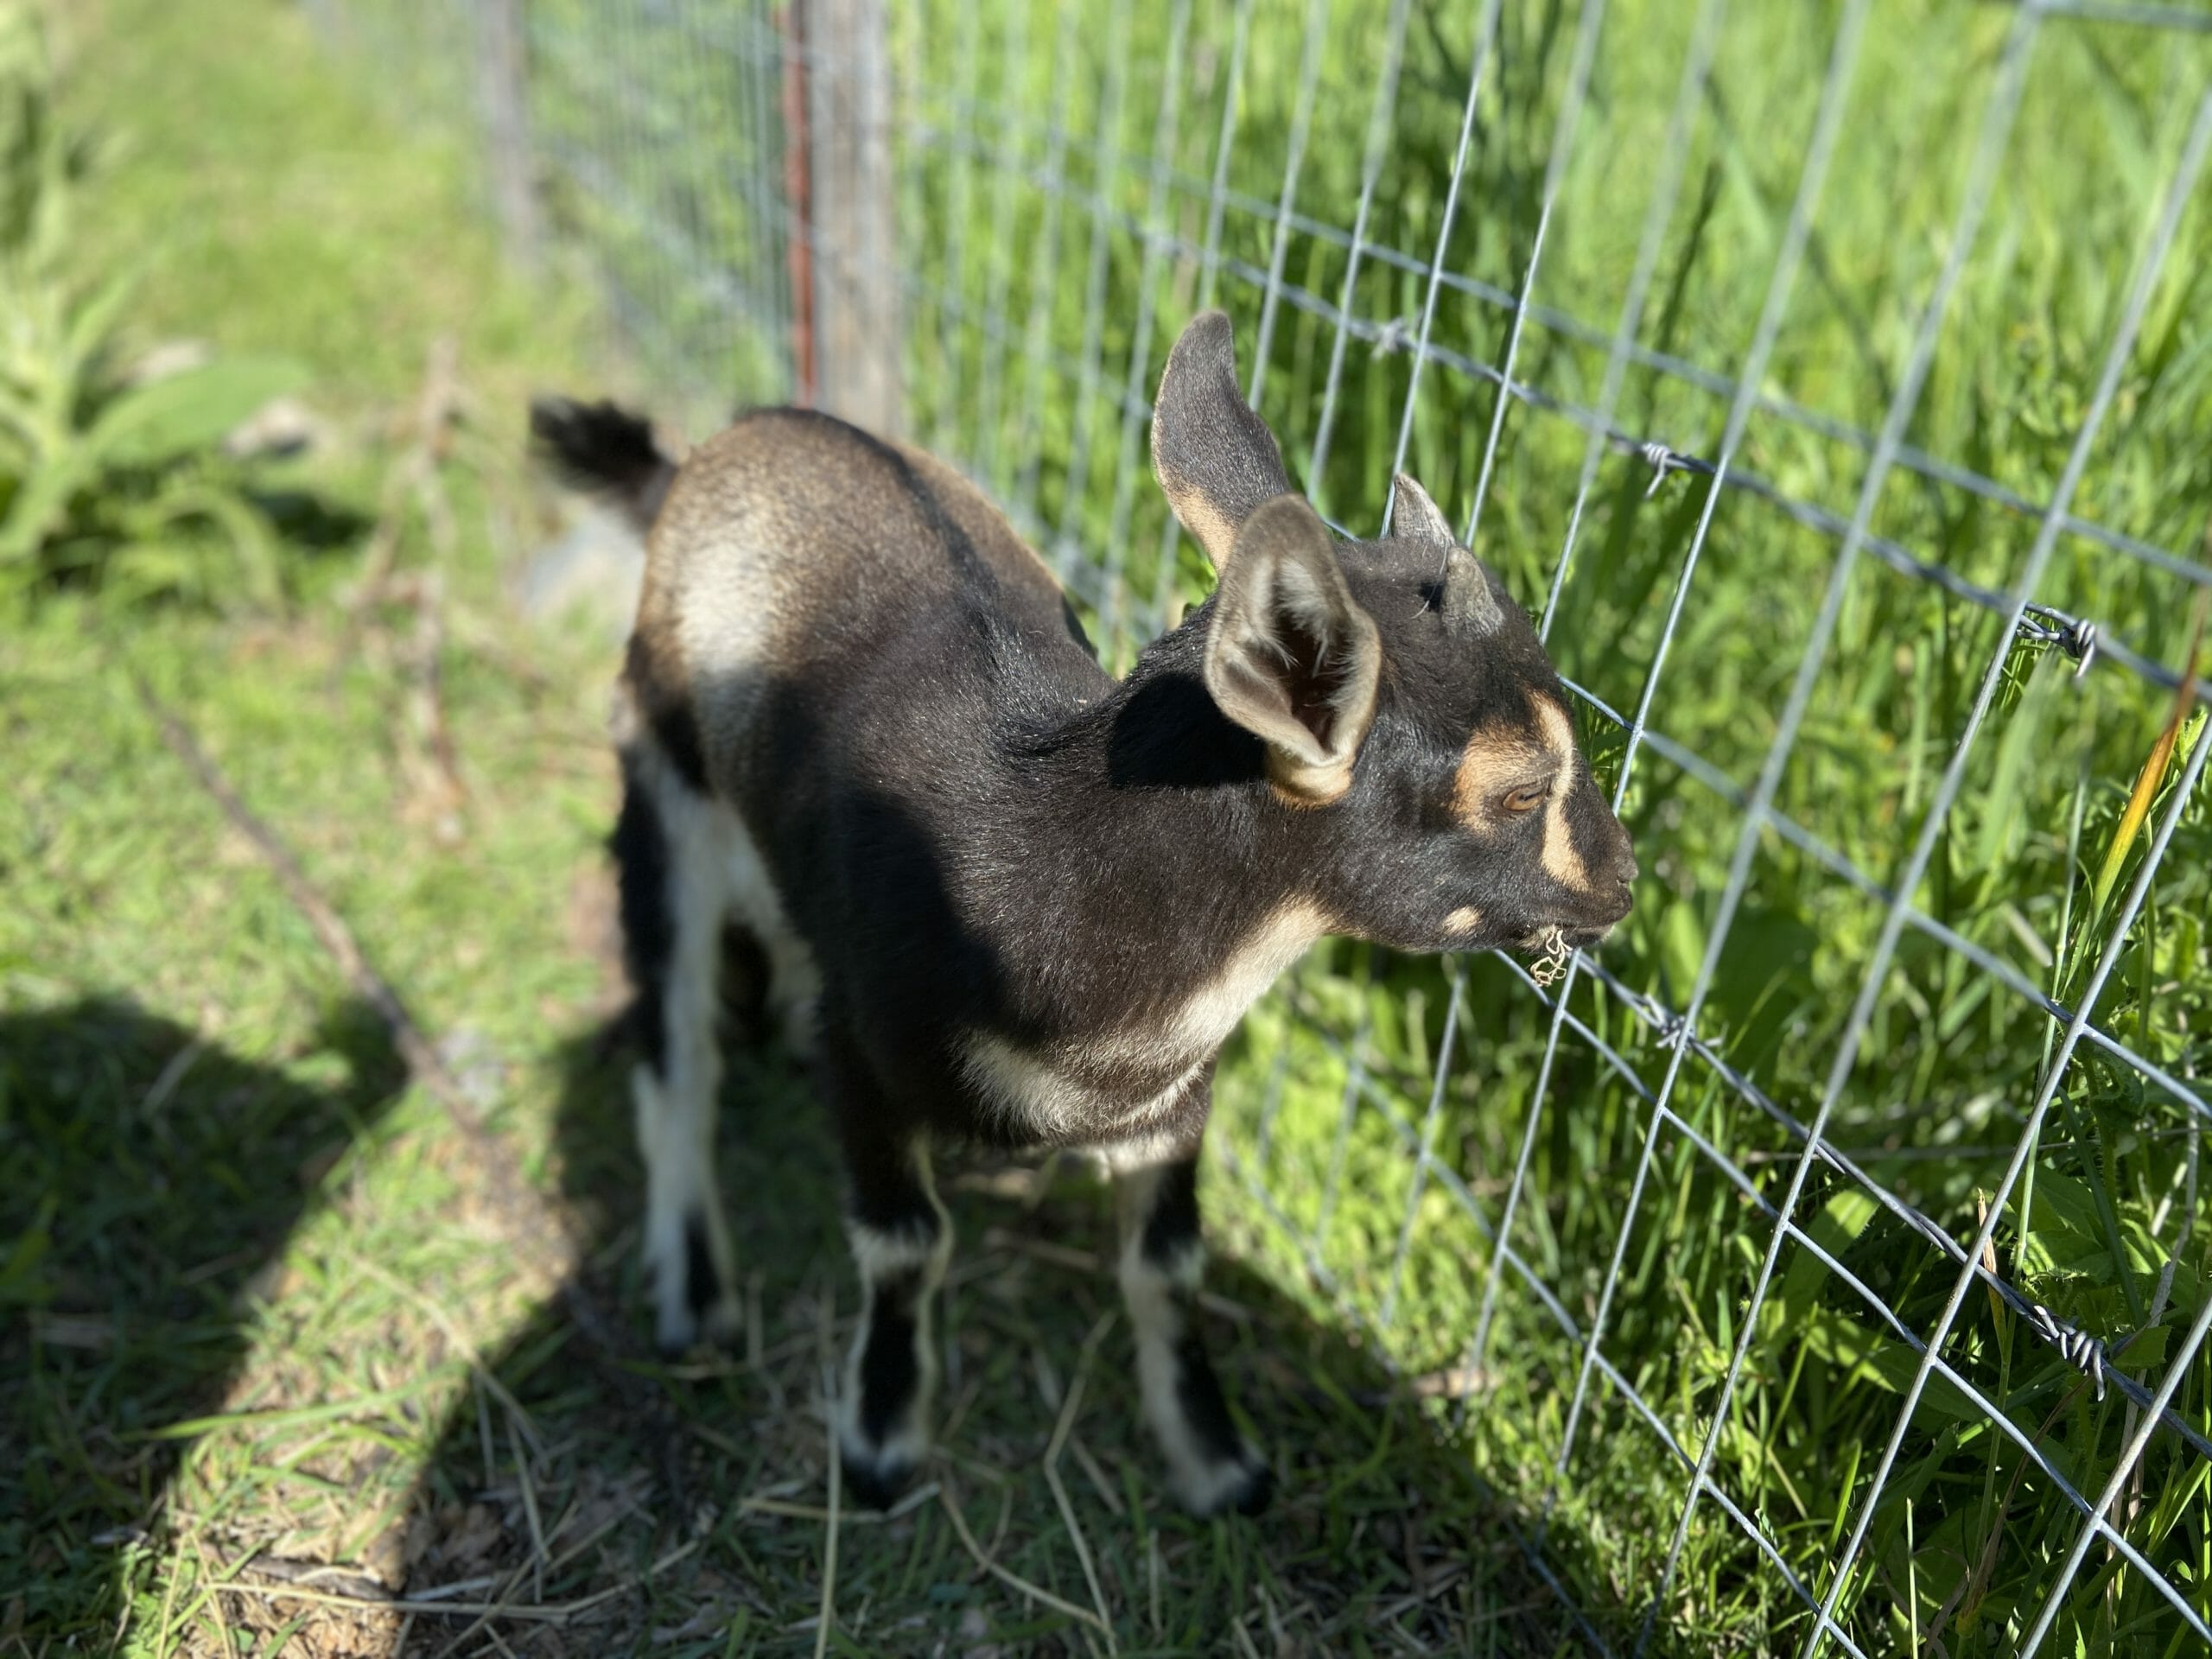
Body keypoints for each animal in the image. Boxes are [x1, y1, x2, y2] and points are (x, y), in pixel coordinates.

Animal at [532, 311, 1637, 1517]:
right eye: (1521, 791)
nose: (1624, 882)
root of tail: (710, 458)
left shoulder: (1174, 1103)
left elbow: (1166, 1266)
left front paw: (1213, 1460)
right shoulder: (866, 1052)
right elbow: (903, 1245)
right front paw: (880, 1444)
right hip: (663, 778)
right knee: (674, 1043)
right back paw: (693, 1294)